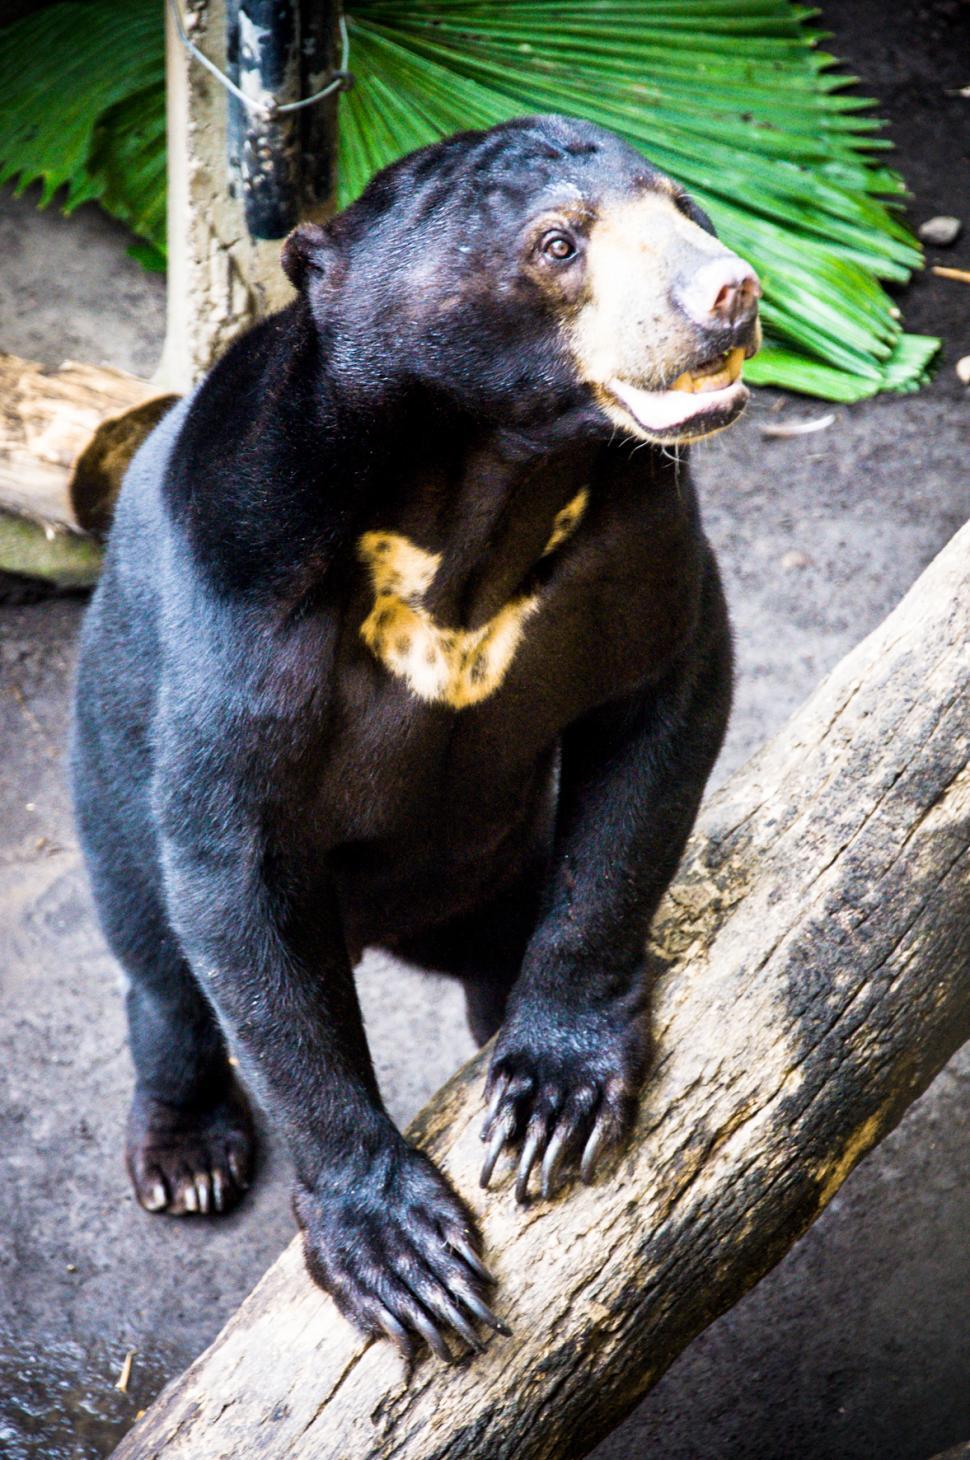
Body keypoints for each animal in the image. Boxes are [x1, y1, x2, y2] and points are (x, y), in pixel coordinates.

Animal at [71, 114, 761, 1362]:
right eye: (556, 242)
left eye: (683, 207)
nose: (729, 292)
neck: (486, 483)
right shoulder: (243, 594)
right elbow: (235, 872)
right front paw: (397, 1252)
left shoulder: (637, 531)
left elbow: (657, 715)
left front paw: (549, 1096)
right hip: (99, 770)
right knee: (158, 952)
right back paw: (186, 1150)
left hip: (486, 873)